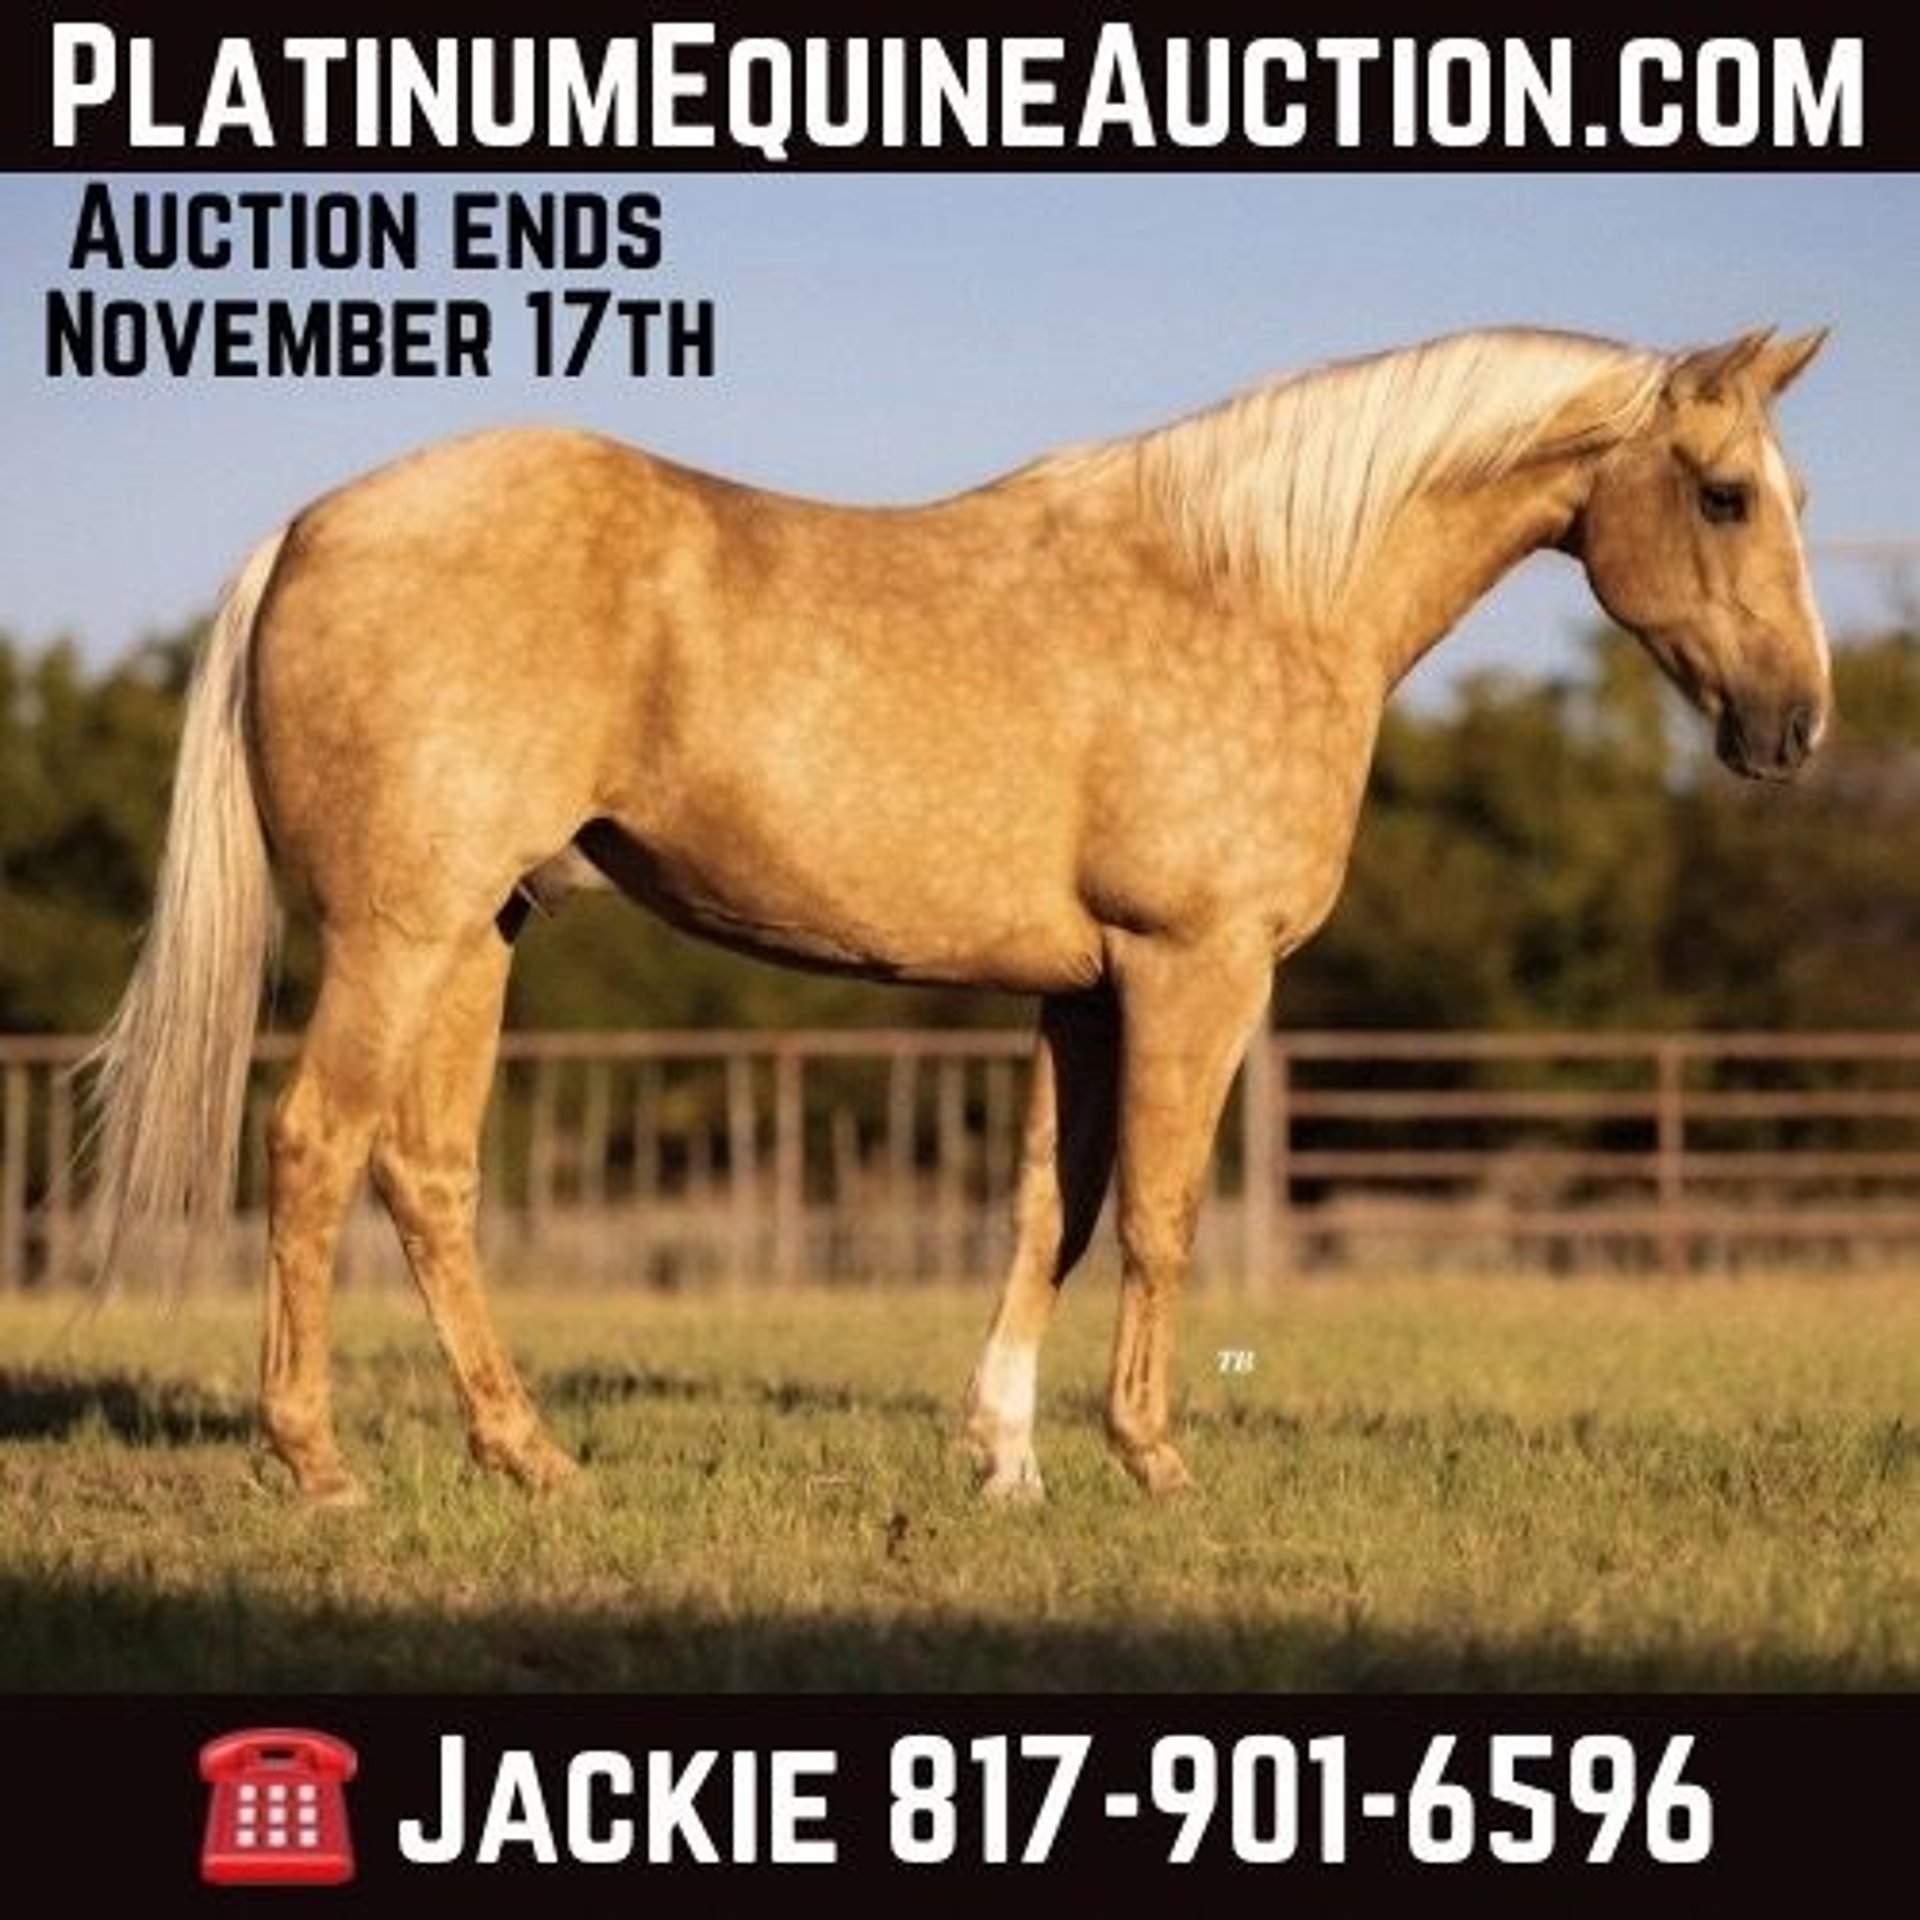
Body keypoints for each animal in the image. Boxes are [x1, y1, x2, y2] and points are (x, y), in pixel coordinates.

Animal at [86, 323, 1830, 1506]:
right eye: (1727, 498)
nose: (1795, 728)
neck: (1259, 590)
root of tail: (312, 525)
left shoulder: (1080, 991)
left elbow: (1049, 1210)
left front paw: (1005, 1460)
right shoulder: (1195, 972)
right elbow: (1160, 1214)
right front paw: (1152, 1460)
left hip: (475, 934)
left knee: (427, 1178)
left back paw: (532, 1460)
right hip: (400, 935)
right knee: (313, 1148)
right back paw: (318, 1464)